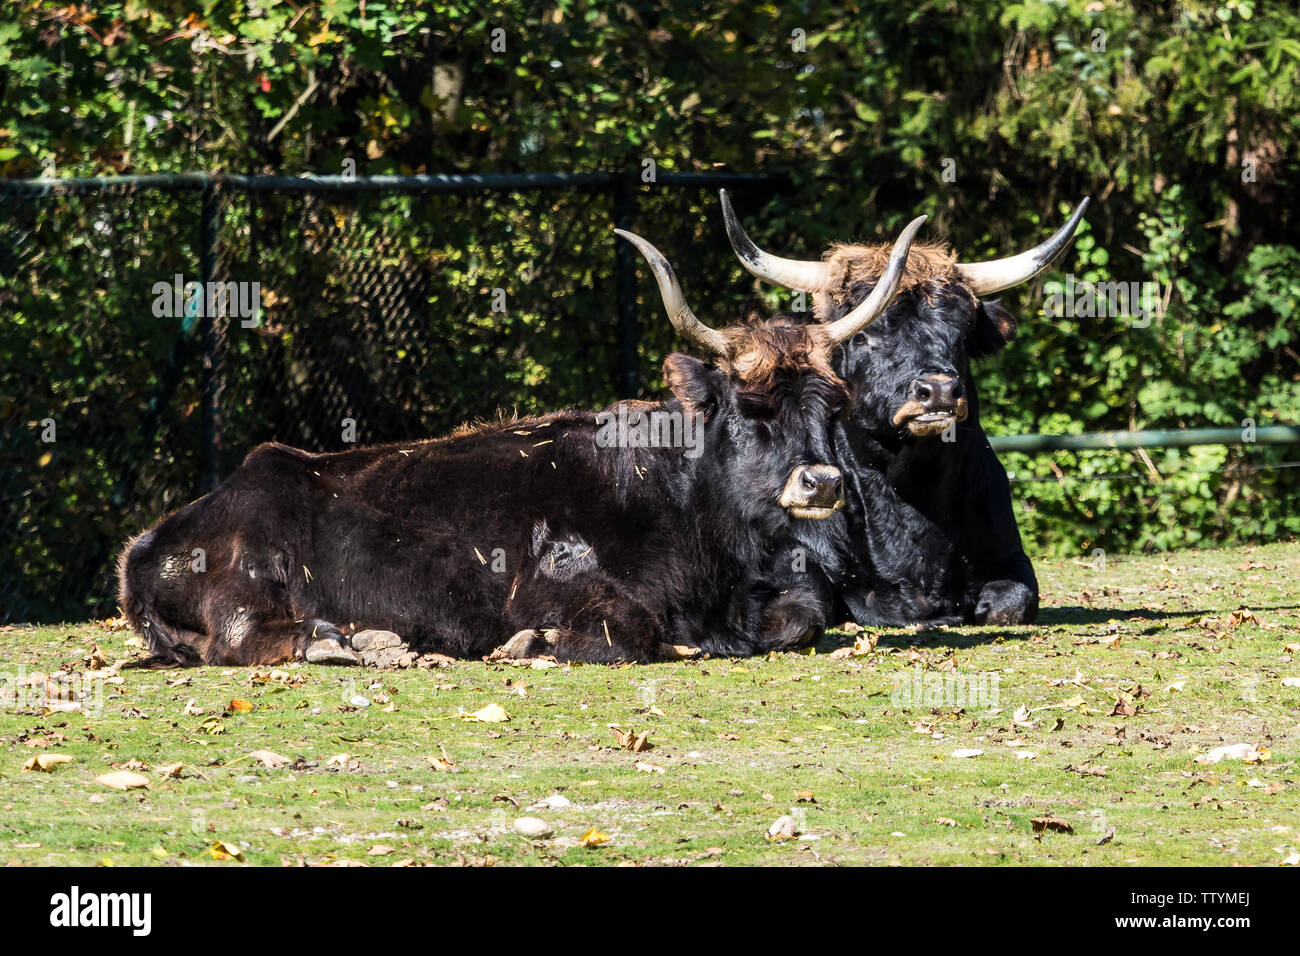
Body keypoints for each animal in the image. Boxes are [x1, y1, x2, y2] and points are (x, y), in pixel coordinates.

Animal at [116, 222, 923, 666]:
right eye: (753, 407)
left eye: (830, 404)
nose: (821, 483)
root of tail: (151, 540)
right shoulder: (561, 590)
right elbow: (628, 631)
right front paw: (530, 643)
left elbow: (804, 614)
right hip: (248, 584)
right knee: (242, 641)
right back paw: (341, 641)